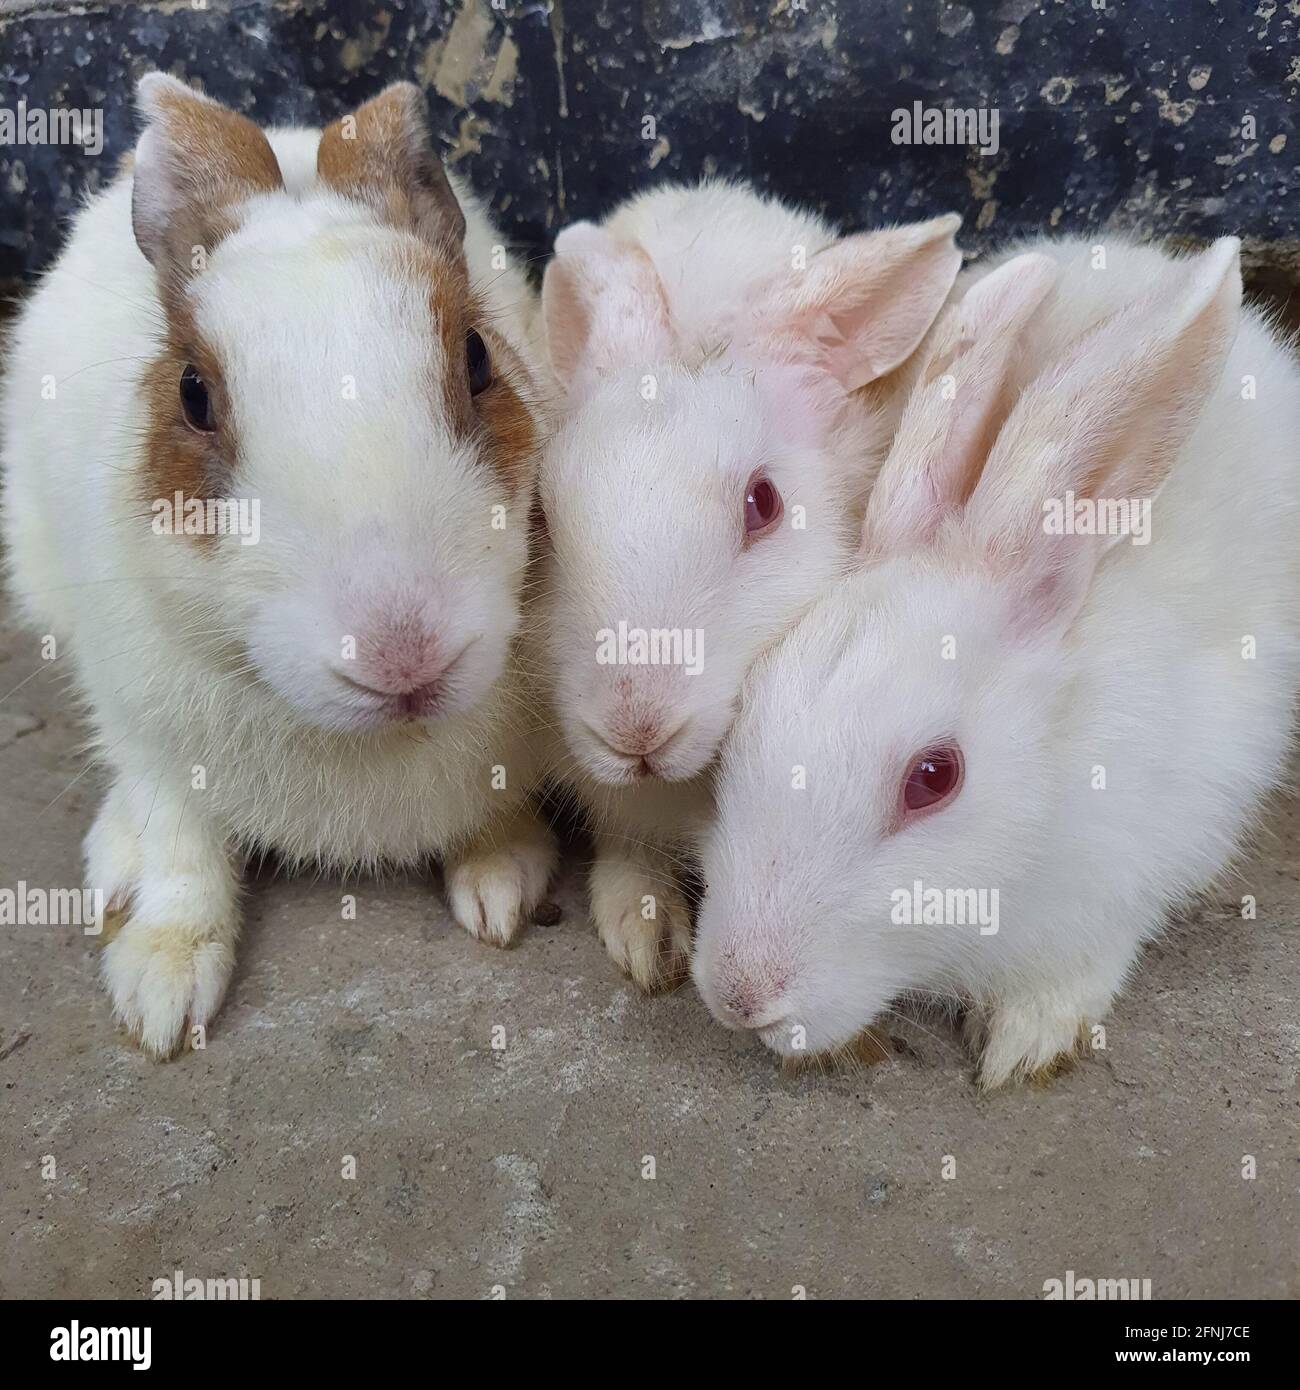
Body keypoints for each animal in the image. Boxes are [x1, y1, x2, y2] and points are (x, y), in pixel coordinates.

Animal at [0, 74, 558, 1057]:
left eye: (478, 356)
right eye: (193, 394)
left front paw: (500, 881)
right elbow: (182, 852)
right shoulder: (151, 736)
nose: (403, 657)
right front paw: (163, 991)